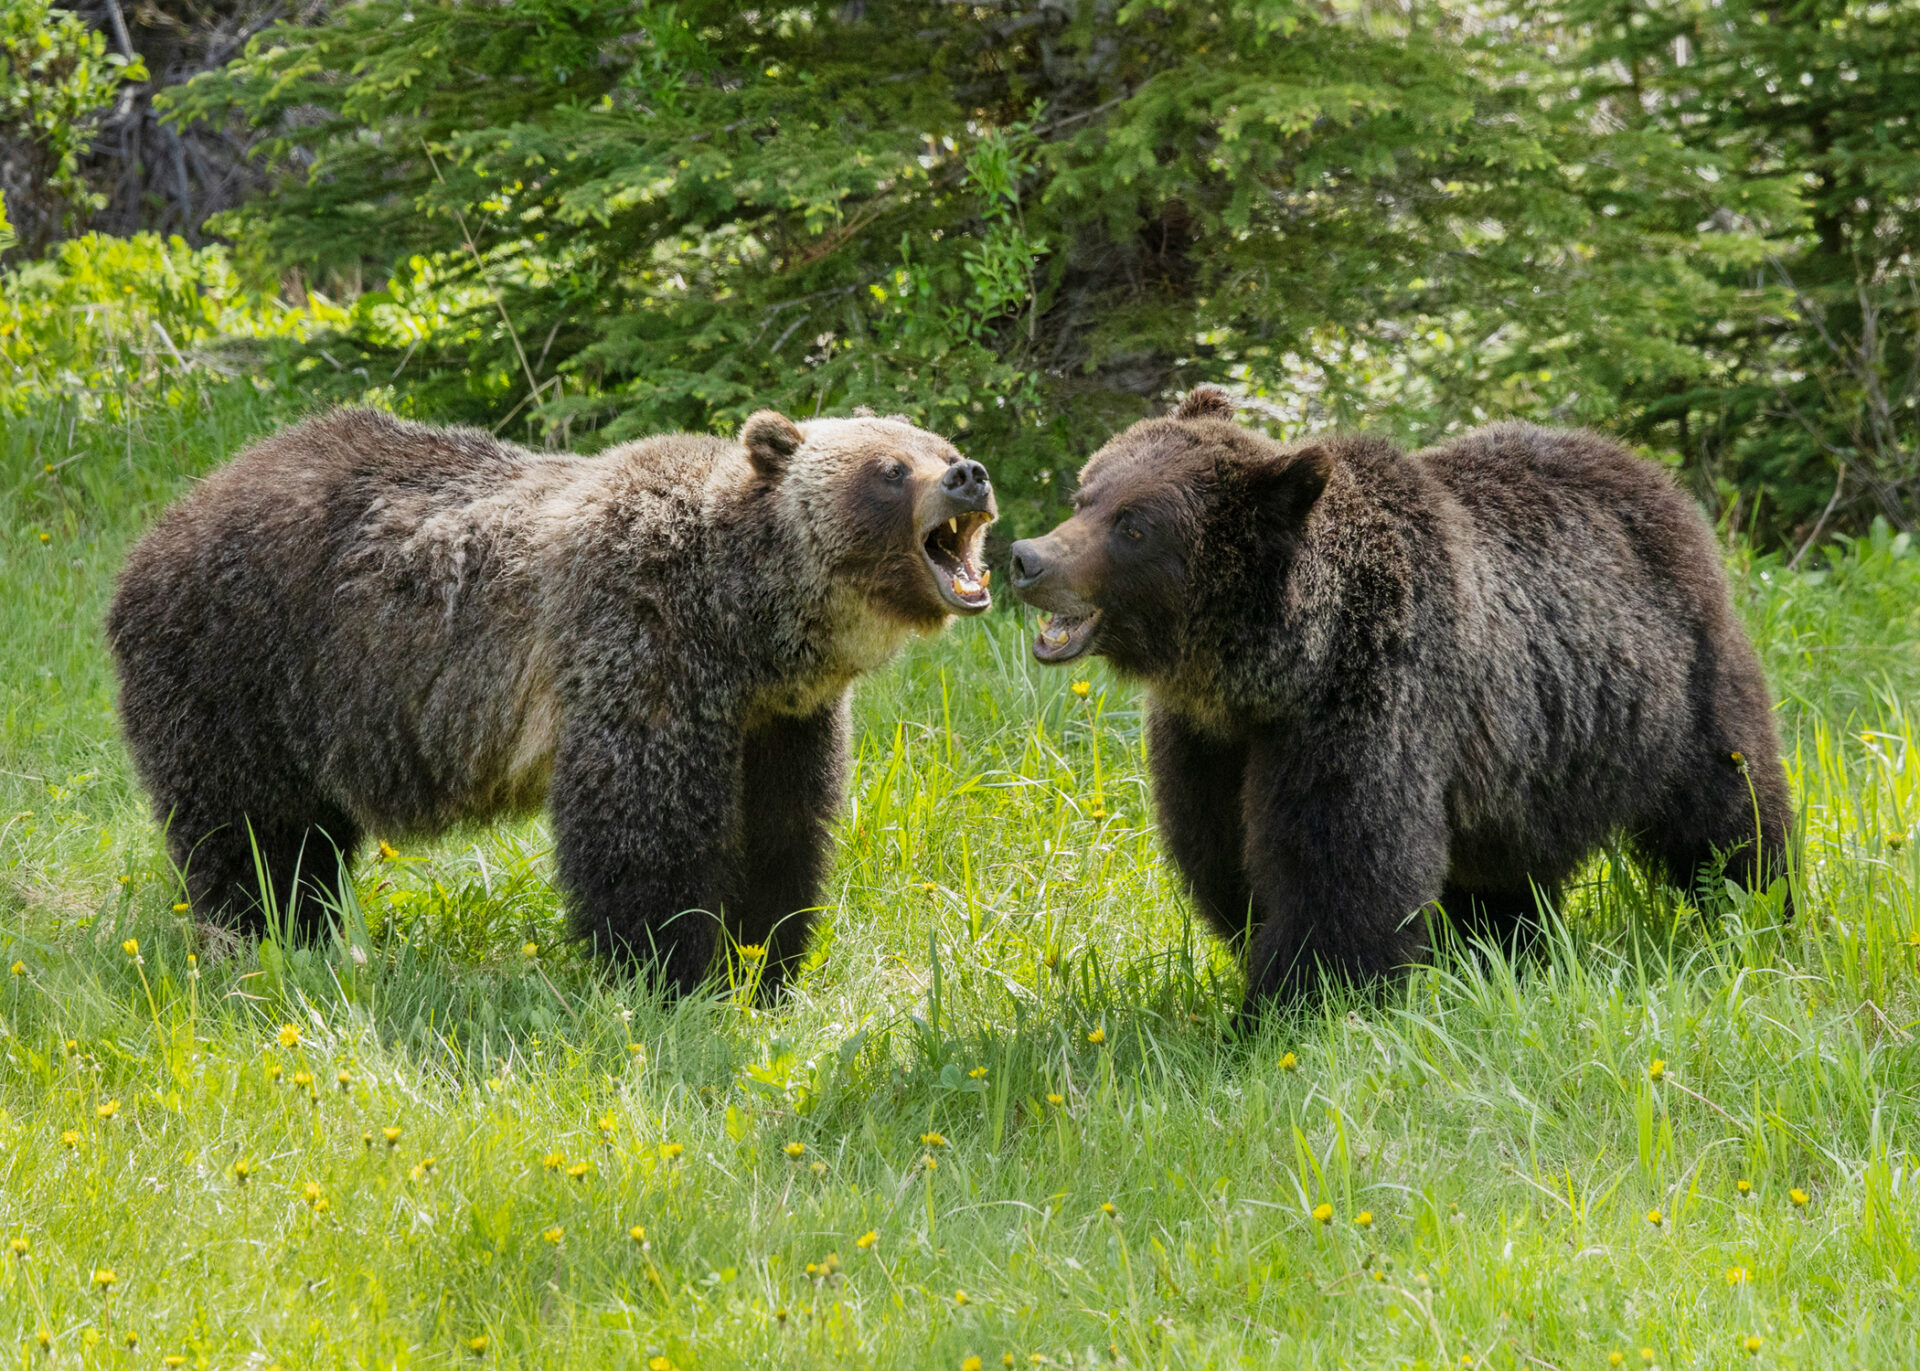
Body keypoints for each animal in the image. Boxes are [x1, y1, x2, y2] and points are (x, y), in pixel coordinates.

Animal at [108, 406, 996, 994]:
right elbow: (643, 834)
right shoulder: (638, 642)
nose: (969, 476)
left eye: (943, 445)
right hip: (245, 664)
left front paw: (761, 965)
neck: (745, 623)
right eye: (889, 468)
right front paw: (664, 972)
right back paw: (262, 932)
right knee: (252, 830)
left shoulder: (780, 720)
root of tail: (157, 529)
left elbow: (783, 834)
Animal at [1008, 386, 1791, 1019]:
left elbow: (1342, 867)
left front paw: (1288, 1011)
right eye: (1086, 495)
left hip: (1671, 689)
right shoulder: (1210, 745)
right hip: (1527, 759)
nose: (1026, 558)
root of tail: (1644, 467)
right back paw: (1506, 952)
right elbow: (1223, 856)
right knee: (1505, 868)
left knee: (1729, 802)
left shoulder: (1369, 699)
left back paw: (1761, 908)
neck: (1274, 671)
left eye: (1135, 525)